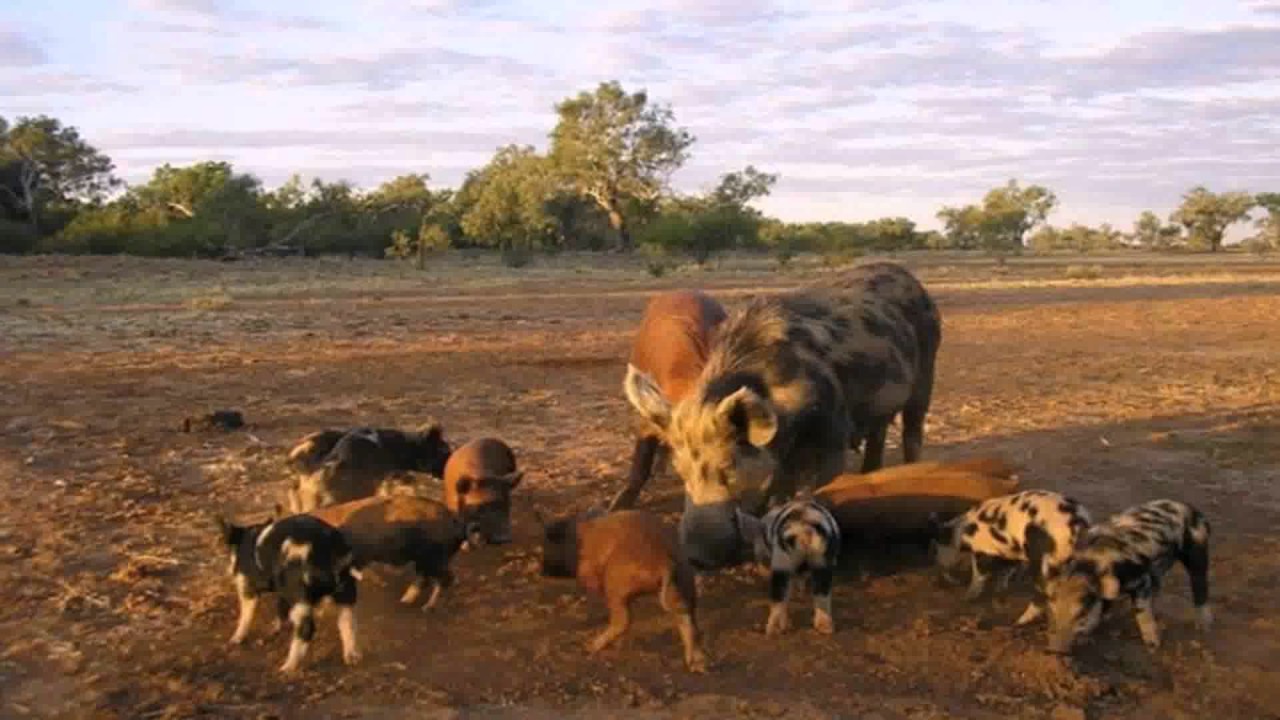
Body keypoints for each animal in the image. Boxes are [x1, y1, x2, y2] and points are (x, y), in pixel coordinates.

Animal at [216, 512, 361, 674]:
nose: (230, 571)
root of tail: (329, 548)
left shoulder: (246, 585)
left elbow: (246, 614)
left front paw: (234, 640)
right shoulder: (281, 592)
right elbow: (280, 608)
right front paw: (273, 629)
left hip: (297, 591)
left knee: (307, 628)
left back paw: (286, 669)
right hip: (345, 587)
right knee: (347, 621)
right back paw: (352, 658)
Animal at [538, 508, 709, 673]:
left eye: (548, 544)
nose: (541, 570)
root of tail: (664, 558)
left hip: (614, 584)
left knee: (623, 620)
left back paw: (590, 646)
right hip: (686, 581)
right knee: (687, 617)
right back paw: (696, 664)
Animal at [624, 261, 941, 572]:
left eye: (729, 468)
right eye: (681, 472)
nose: (696, 558)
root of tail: (906, 274)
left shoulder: (832, 436)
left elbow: (815, 492)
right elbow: (778, 495)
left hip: (926, 374)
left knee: (913, 431)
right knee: (878, 436)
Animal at [930, 489, 1093, 626]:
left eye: (938, 545)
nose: (938, 565)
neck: (962, 534)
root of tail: (1077, 523)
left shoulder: (985, 551)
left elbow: (979, 573)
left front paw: (968, 597)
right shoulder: (1010, 553)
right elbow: (1005, 573)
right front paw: (999, 595)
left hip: (1044, 560)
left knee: (1043, 592)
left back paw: (1020, 622)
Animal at [1044, 499, 1212, 654]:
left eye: (1080, 613)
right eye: (1055, 612)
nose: (1054, 650)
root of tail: (1190, 508)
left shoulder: (1141, 579)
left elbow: (1141, 610)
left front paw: (1153, 647)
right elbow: (1104, 606)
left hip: (1198, 549)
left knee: (1200, 583)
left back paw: (1203, 626)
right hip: (1163, 564)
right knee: (1159, 584)